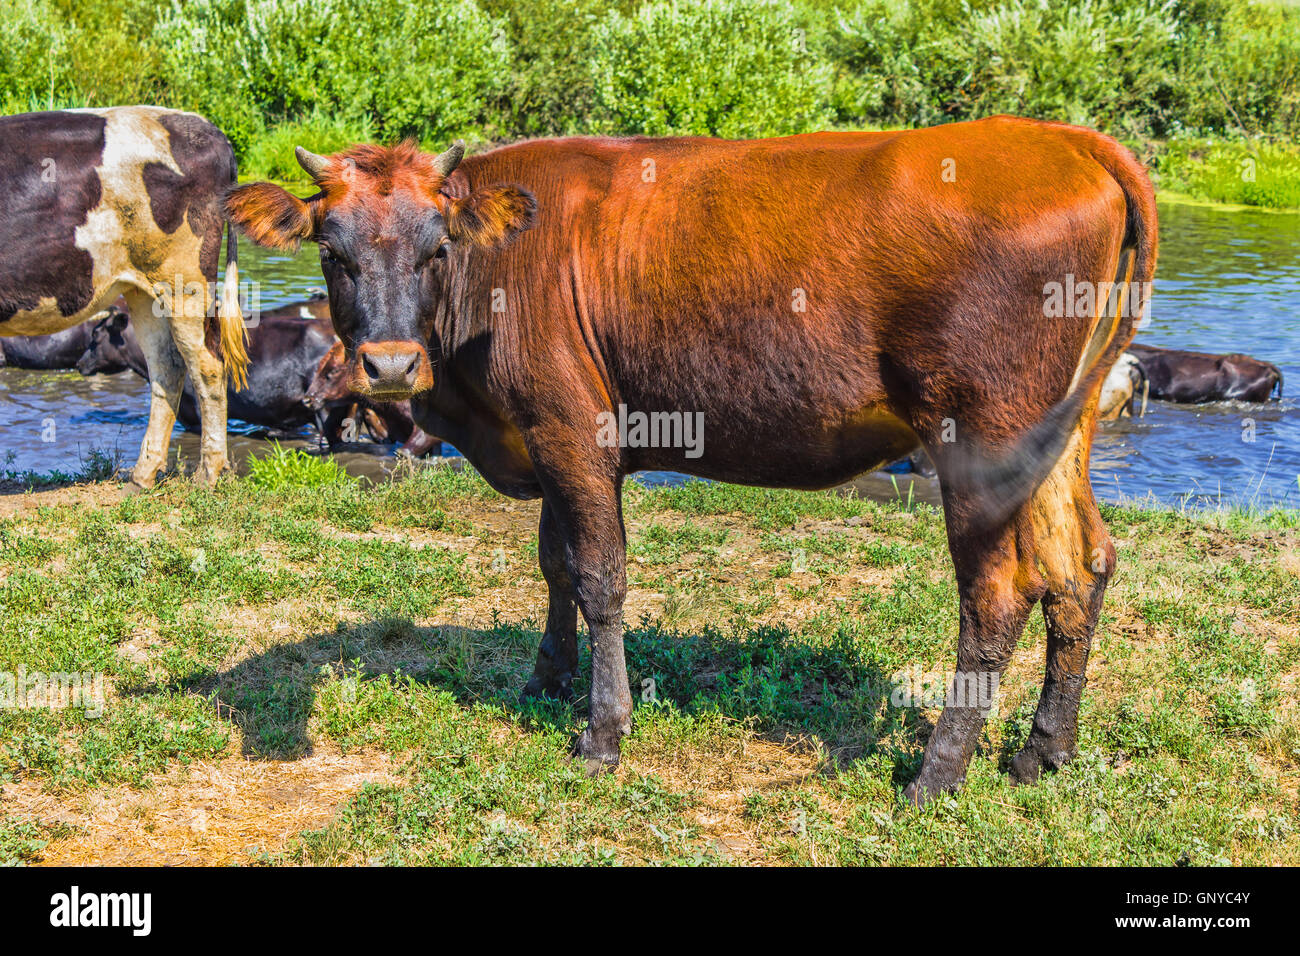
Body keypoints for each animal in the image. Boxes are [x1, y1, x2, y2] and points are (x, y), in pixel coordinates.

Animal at [0, 106, 246, 487]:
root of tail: (203, 125)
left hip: (185, 281)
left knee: (208, 364)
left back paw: (208, 472)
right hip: (145, 290)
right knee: (167, 365)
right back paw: (143, 474)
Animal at [226, 116, 1158, 804]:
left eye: (435, 248)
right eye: (333, 251)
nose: (389, 366)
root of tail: (1063, 138)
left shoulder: (573, 429)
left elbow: (600, 575)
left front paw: (603, 732)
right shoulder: (543, 433)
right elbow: (554, 563)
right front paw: (545, 679)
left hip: (979, 434)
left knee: (1000, 595)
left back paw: (936, 775)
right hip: (1057, 436)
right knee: (1081, 568)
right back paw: (1043, 752)